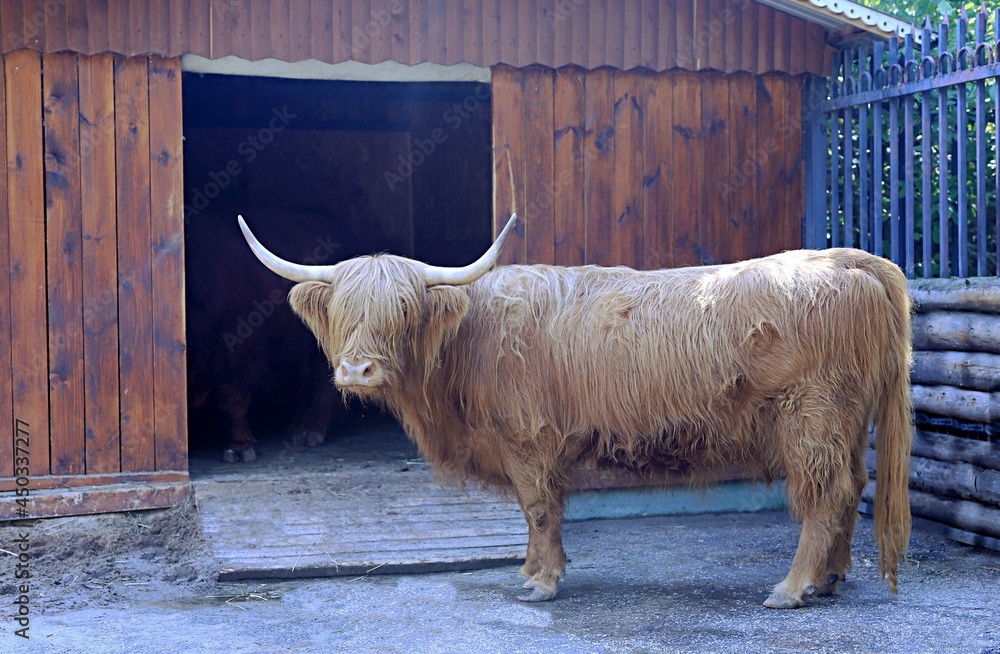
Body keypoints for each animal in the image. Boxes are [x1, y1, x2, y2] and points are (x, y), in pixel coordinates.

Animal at [238, 213, 912, 608]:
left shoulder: (526, 440)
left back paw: (792, 588)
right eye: (342, 310)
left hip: (812, 417)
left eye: (403, 308)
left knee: (824, 496)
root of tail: (846, 258)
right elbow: (543, 512)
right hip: (846, 422)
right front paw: (537, 571)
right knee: (853, 486)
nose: (357, 371)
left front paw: (539, 582)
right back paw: (830, 579)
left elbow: (539, 508)